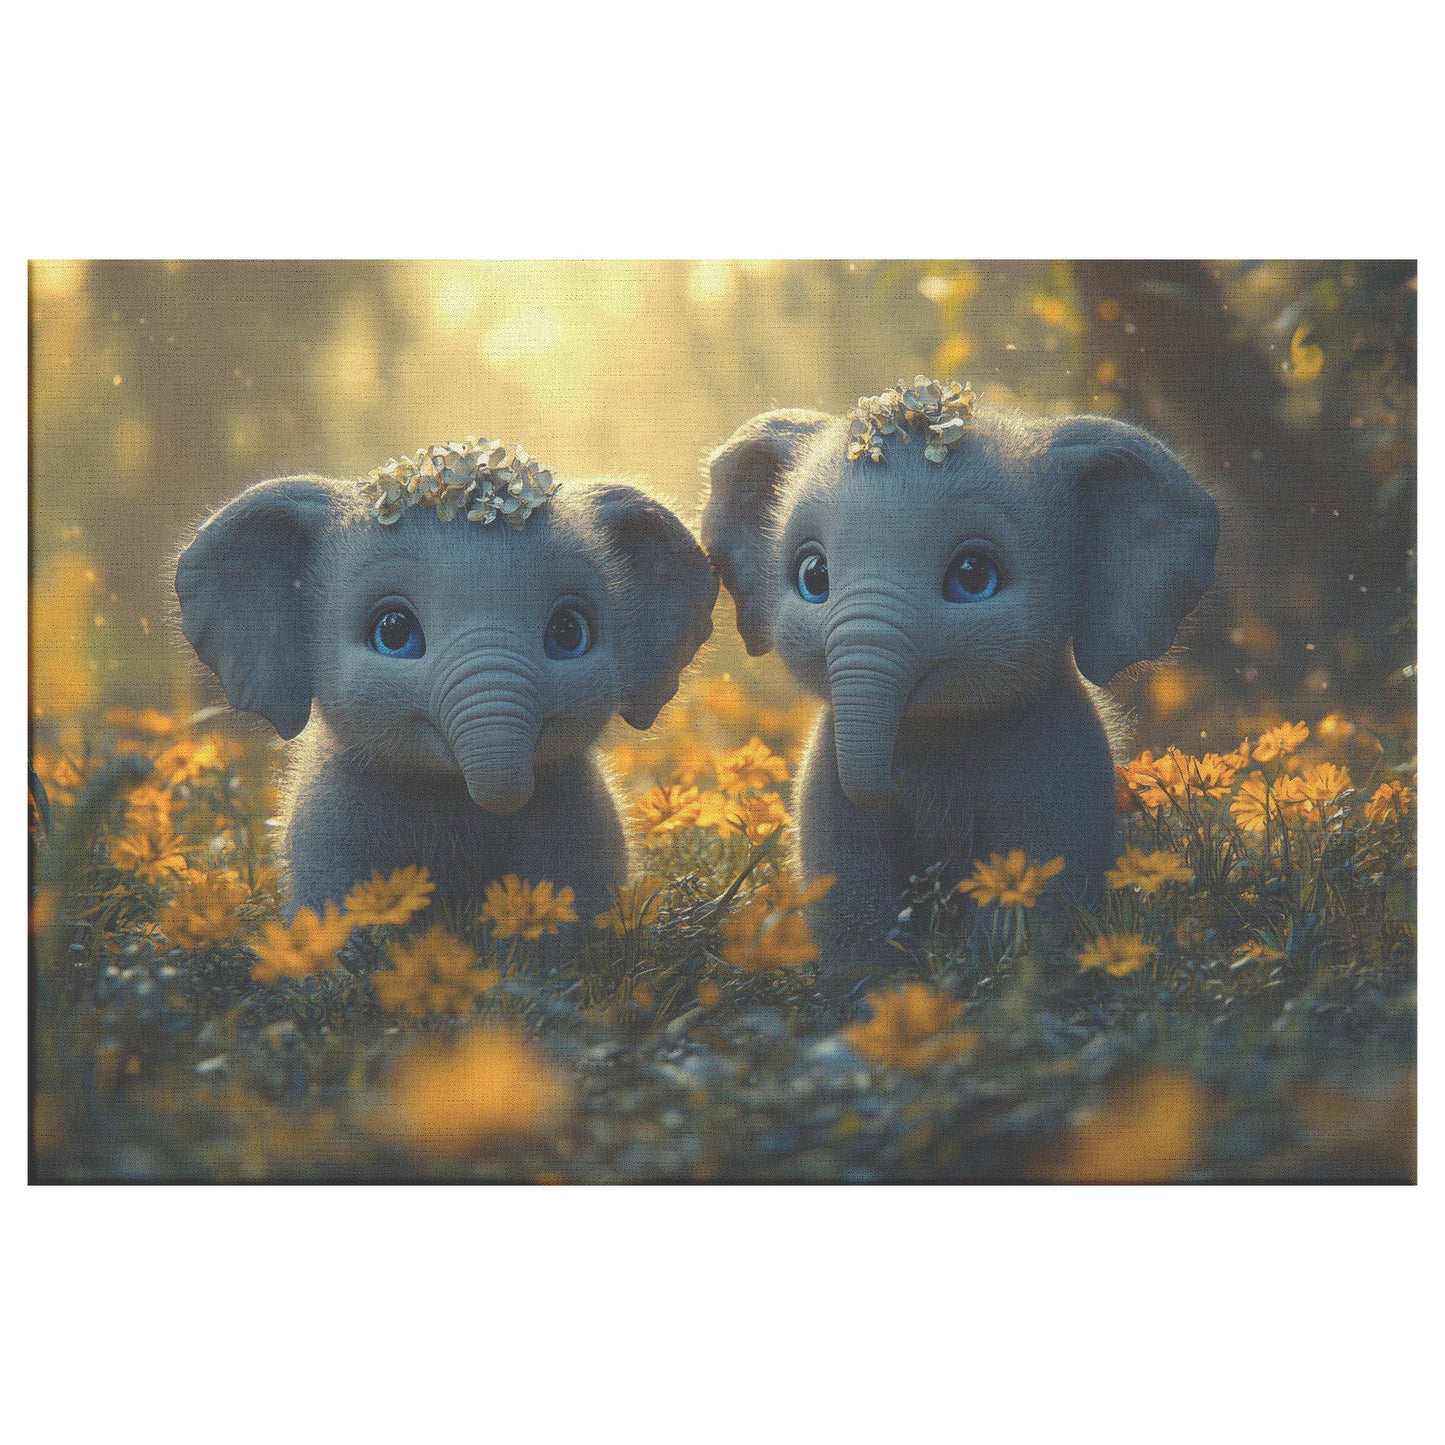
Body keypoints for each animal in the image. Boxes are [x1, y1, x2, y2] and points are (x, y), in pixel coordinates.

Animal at [701, 379, 1218, 974]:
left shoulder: (1063, 771)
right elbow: (845, 881)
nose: (893, 777)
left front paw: (984, 971)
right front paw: (877, 980)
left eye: (974, 576)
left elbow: (1033, 875)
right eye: (813, 576)